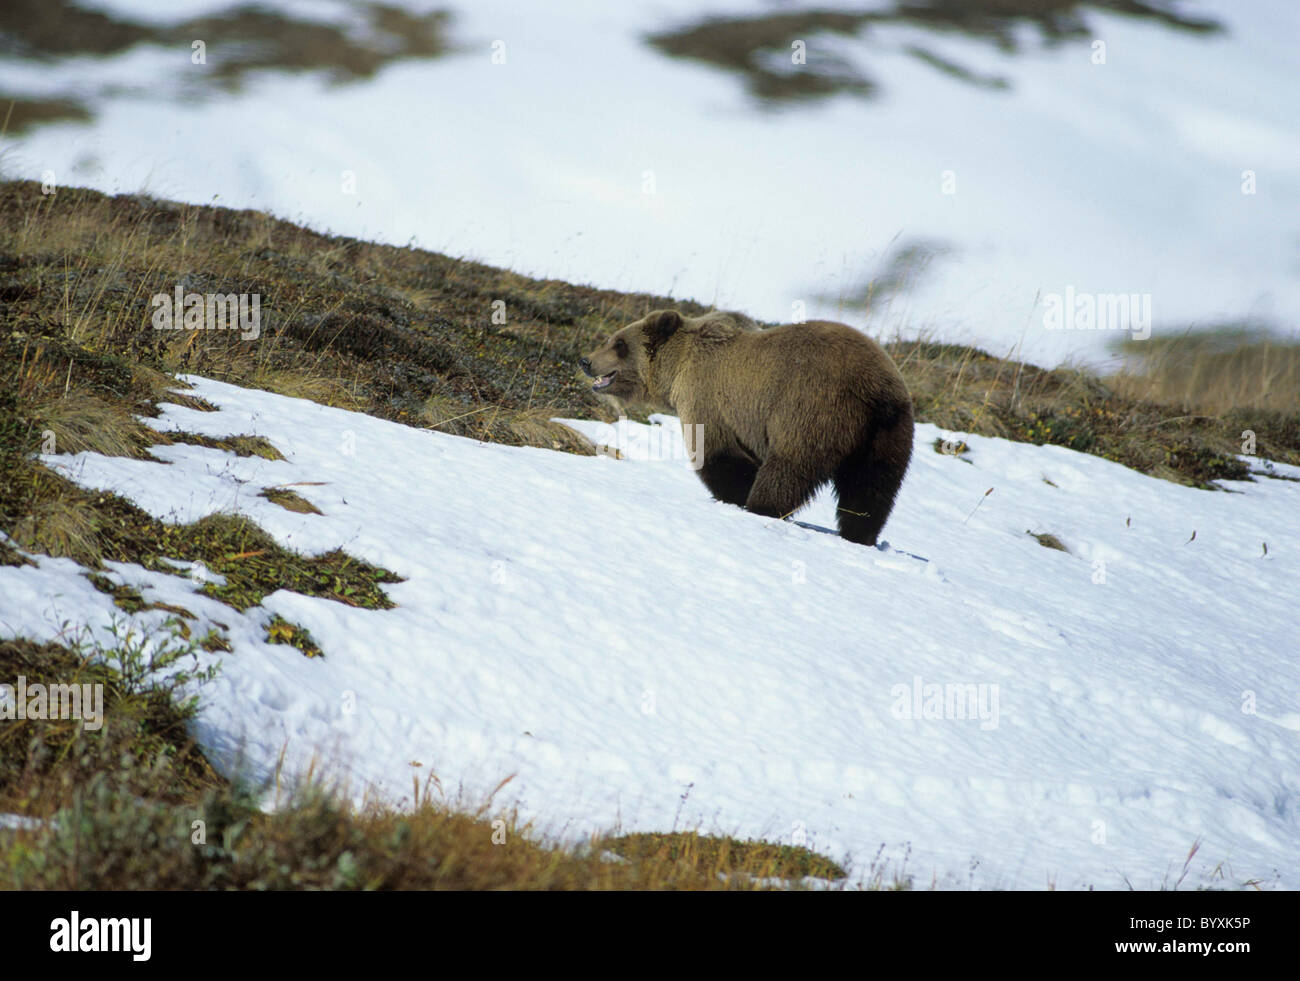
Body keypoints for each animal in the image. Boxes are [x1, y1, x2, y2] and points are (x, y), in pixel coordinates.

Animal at [579, 309, 914, 546]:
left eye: (619, 344)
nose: (586, 360)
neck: (677, 370)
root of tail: (876, 390)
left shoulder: (707, 396)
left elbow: (716, 454)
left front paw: (735, 496)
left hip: (811, 411)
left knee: (789, 467)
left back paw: (762, 507)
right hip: (887, 434)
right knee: (871, 487)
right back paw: (860, 533)